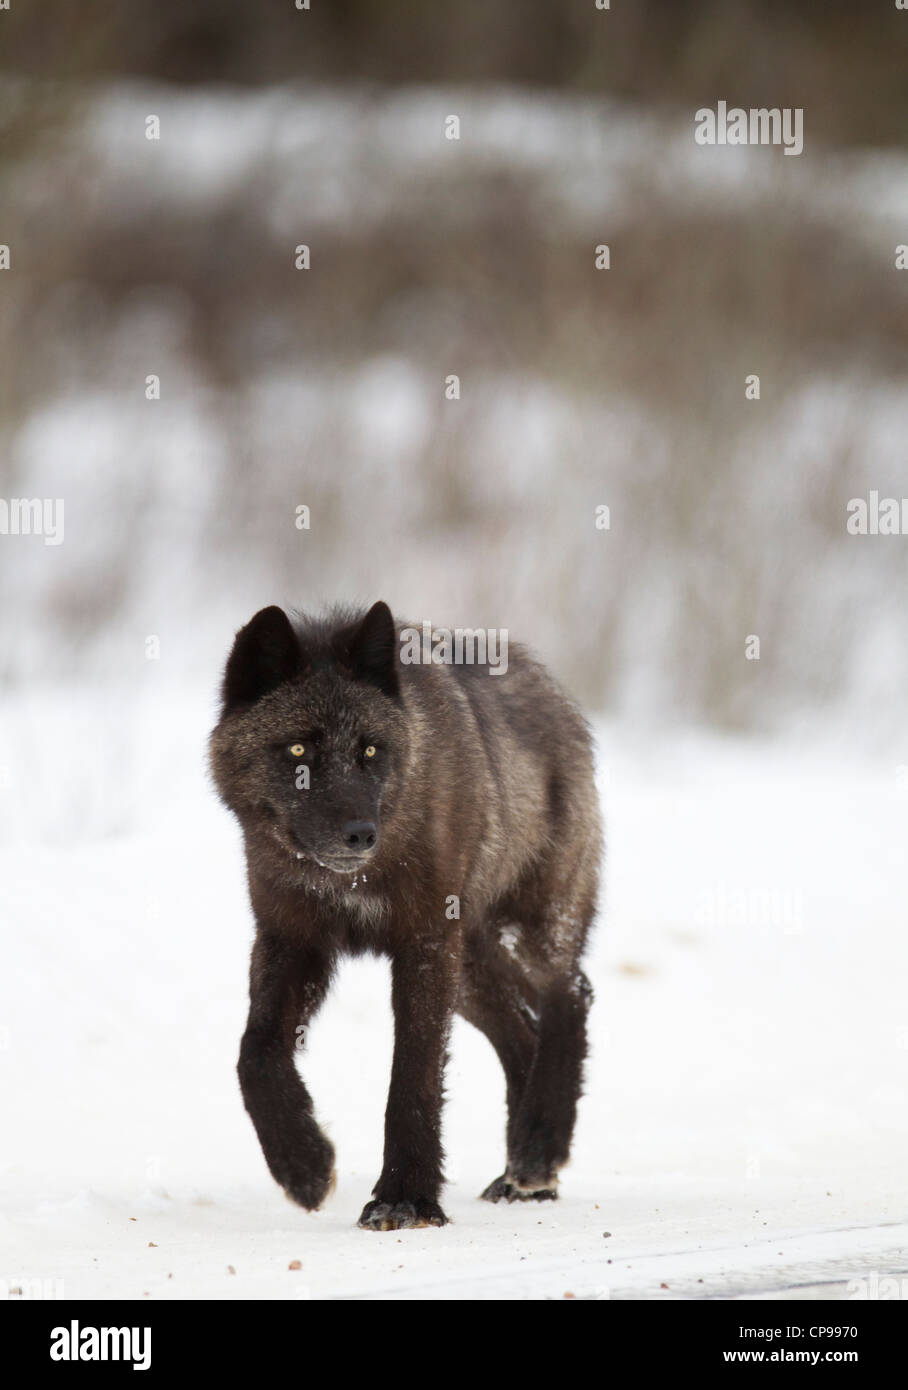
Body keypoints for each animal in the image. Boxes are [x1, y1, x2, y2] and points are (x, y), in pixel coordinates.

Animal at [209, 601, 601, 1231]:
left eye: (370, 751)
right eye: (298, 752)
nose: (359, 834)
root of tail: (553, 691)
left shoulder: (423, 944)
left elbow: (413, 1075)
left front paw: (405, 1197)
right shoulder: (290, 941)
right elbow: (255, 1054)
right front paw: (303, 1165)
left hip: (520, 936)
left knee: (572, 995)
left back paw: (539, 1149)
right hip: (470, 967)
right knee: (524, 1032)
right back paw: (522, 1173)